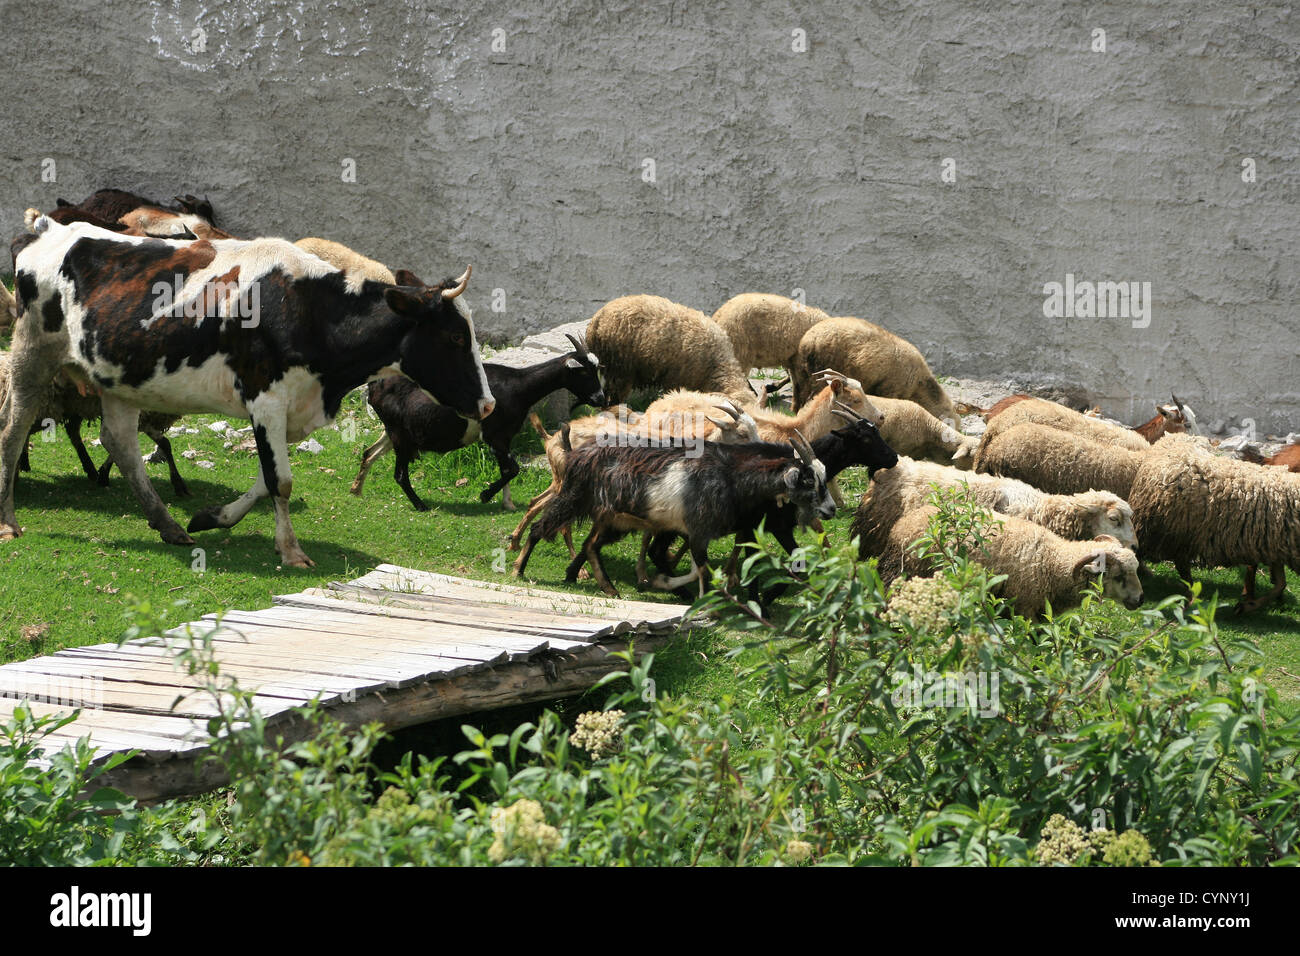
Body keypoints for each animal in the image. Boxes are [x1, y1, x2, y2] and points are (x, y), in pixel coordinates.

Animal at [1, 215, 495, 567]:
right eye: (455, 337)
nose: (488, 404)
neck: (309, 309)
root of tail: (52, 229)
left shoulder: (290, 410)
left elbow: (265, 479)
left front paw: (213, 517)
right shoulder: (266, 398)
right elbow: (281, 481)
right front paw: (291, 551)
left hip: (118, 376)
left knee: (119, 443)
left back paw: (168, 525)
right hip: (32, 354)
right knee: (14, 429)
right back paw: (9, 521)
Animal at [875, 505, 1143, 619]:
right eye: (1118, 576)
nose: (1141, 599)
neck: (1052, 562)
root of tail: (905, 520)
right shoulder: (1024, 610)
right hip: (899, 577)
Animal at [1127, 439, 1300, 612]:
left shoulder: (1276, 548)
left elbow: (1281, 583)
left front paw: (1248, 605)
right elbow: (1278, 583)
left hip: (1177, 533)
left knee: (1180, 564)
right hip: (1162, 528)